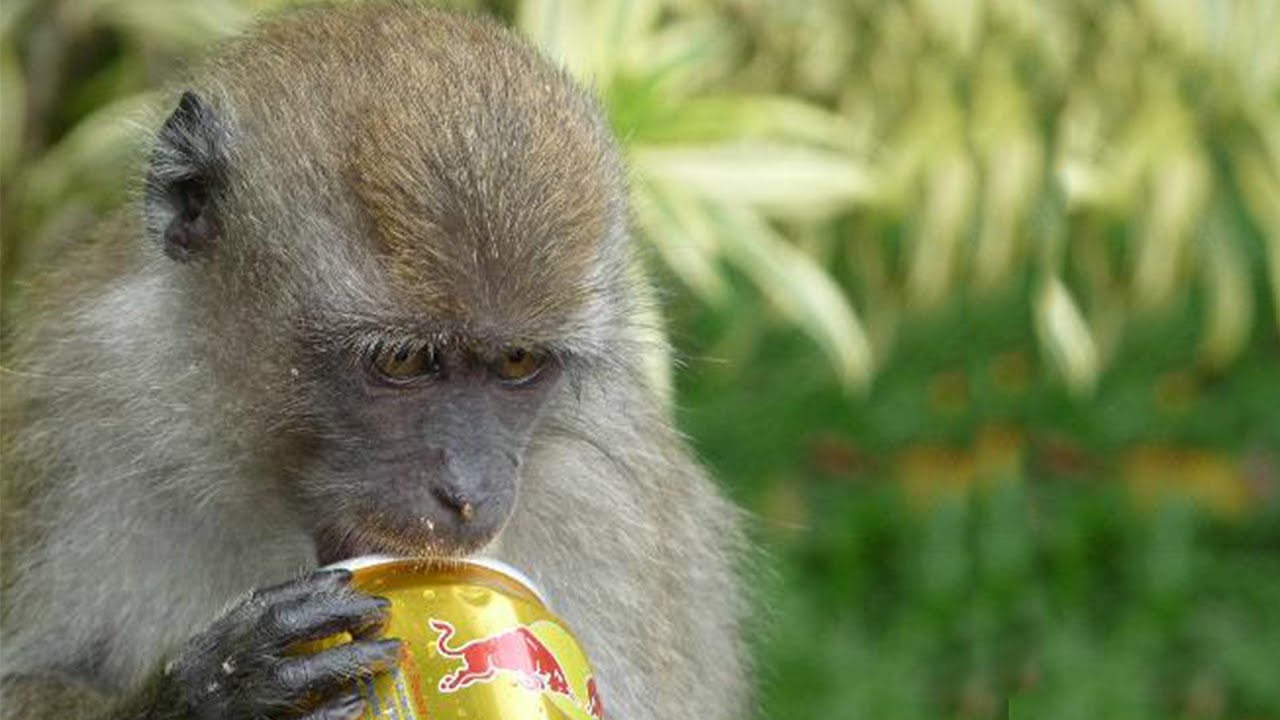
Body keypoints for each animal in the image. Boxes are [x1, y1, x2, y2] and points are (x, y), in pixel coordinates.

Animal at [0, 4, 747, 719]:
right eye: (405, 359)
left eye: (516, 361)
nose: (468, 494)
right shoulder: (79, 396)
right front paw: (216, 690)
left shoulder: (611, 505)